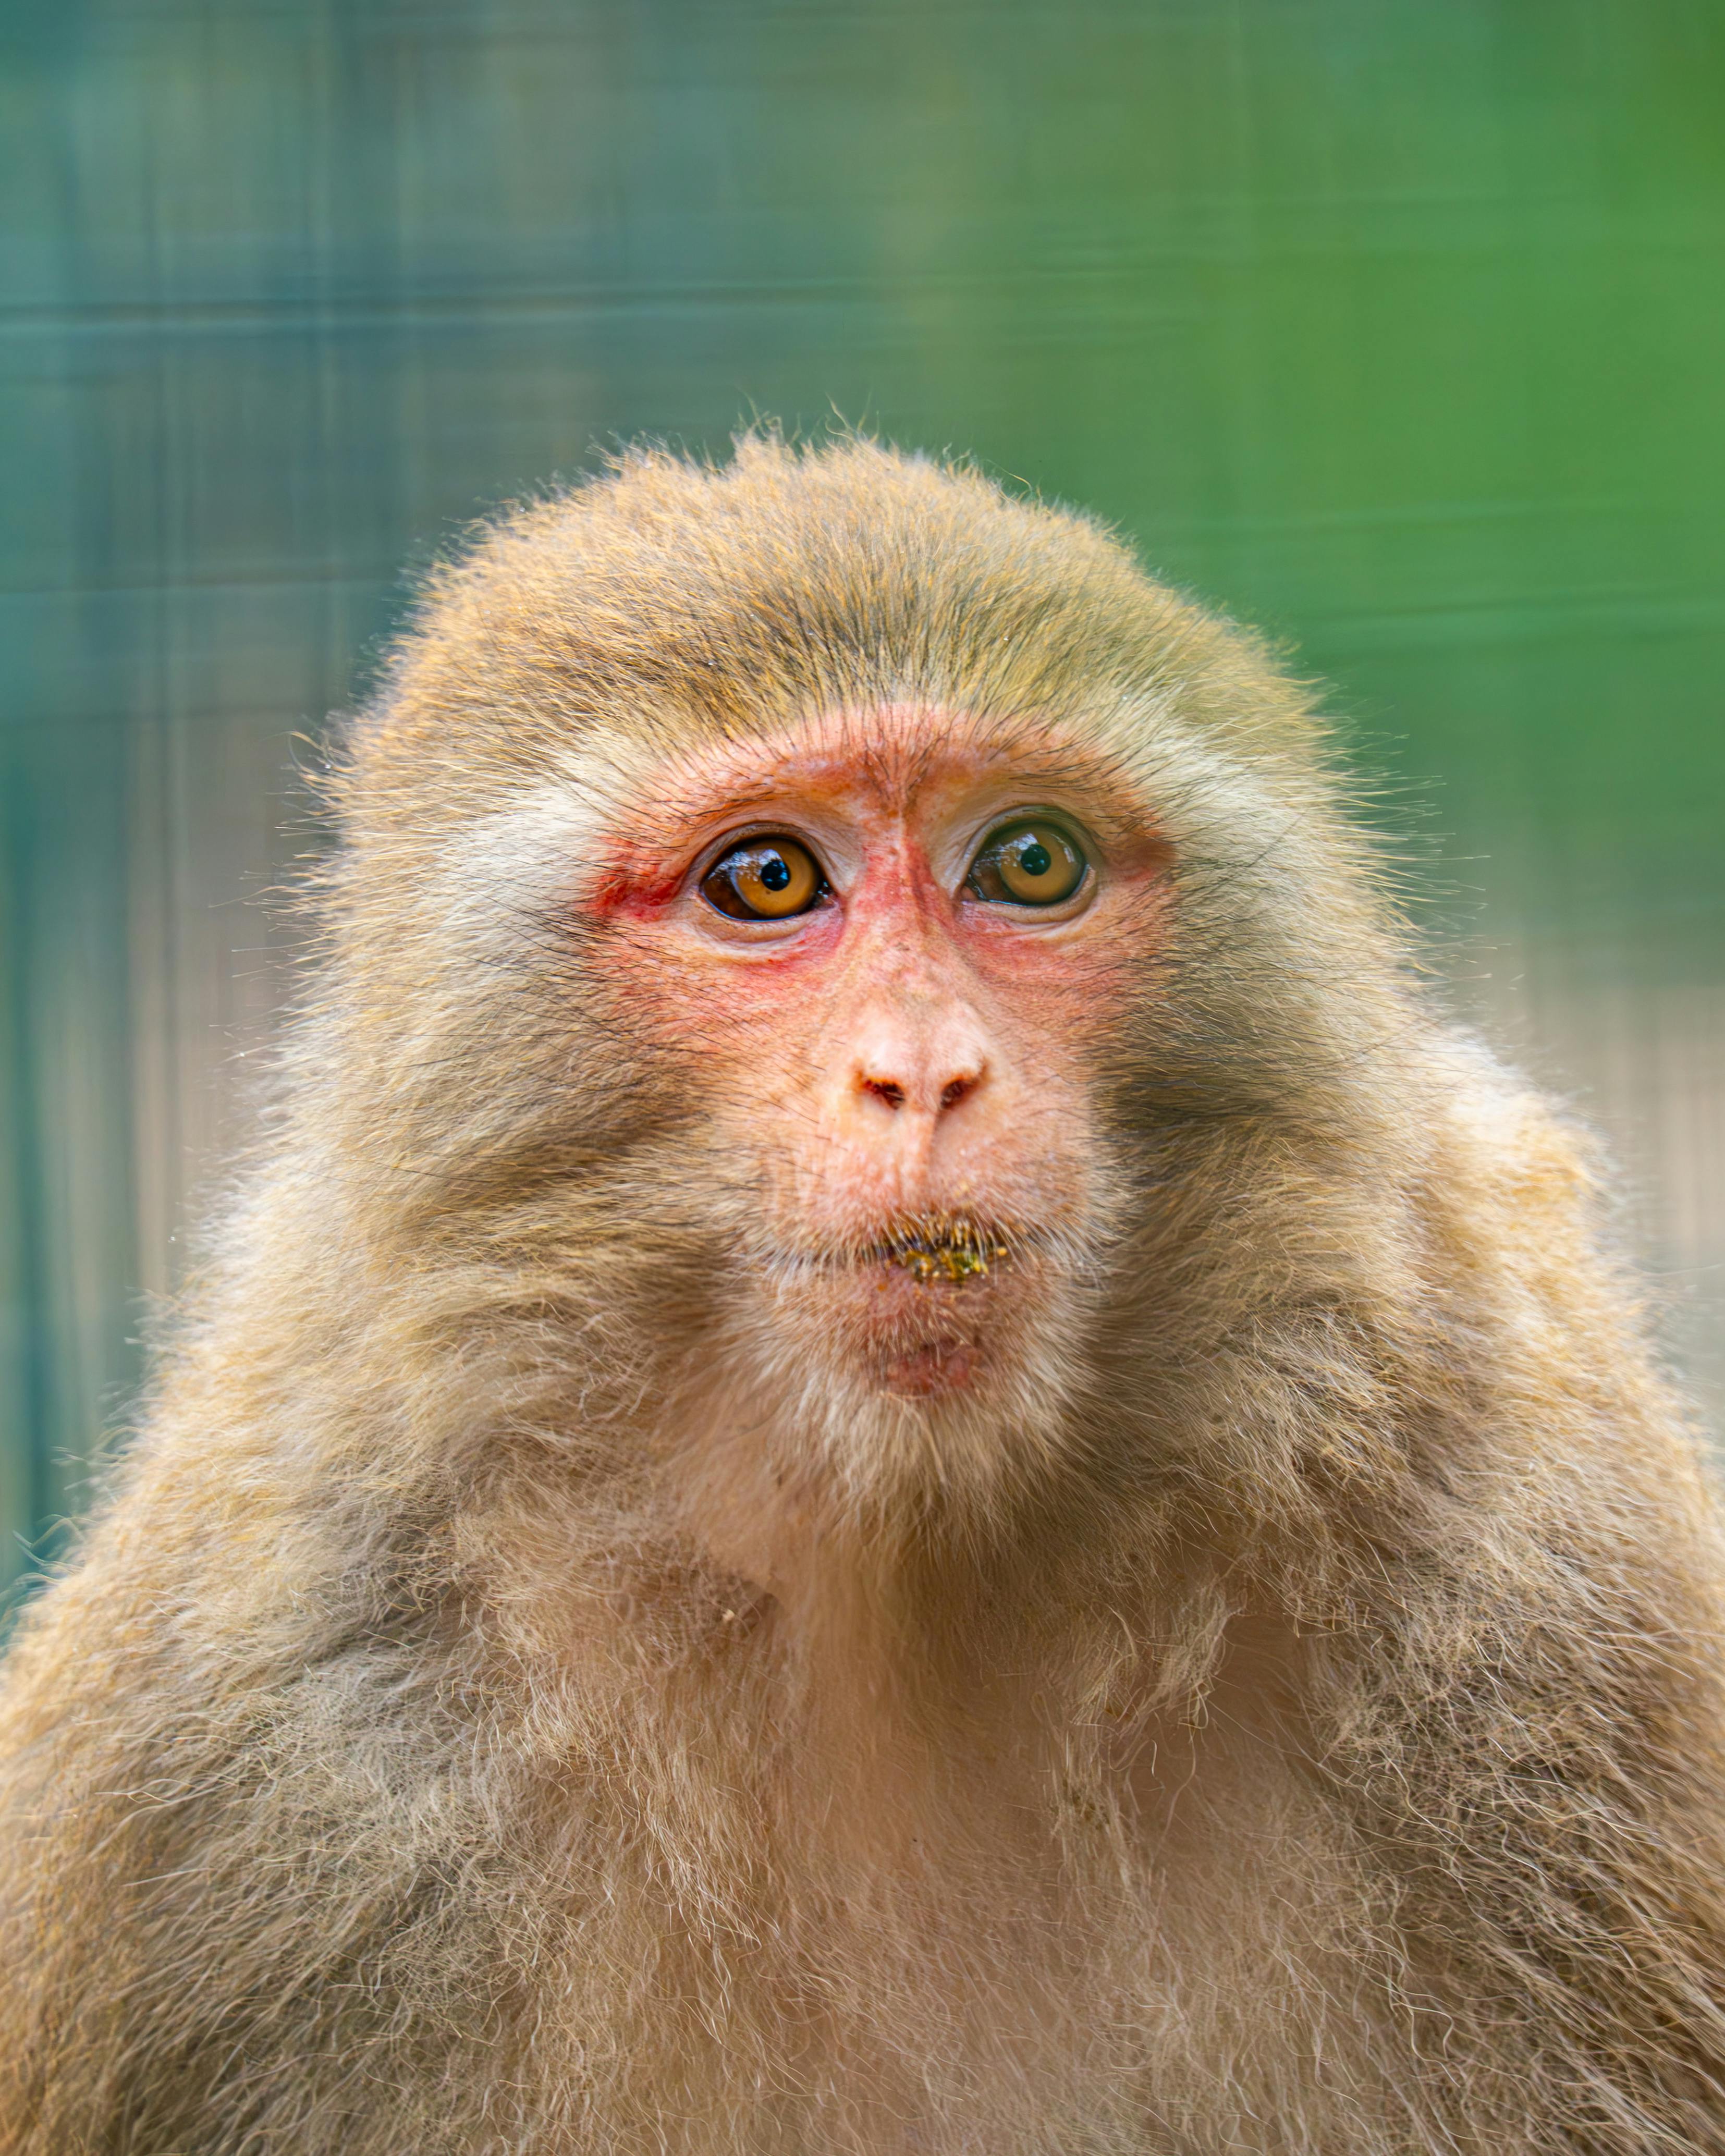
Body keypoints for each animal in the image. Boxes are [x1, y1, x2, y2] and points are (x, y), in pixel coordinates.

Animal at [1, 434, 1723, 2156]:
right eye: (766, 879)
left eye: (1028, 861)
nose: (925, 1070)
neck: (903, 1593)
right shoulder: (262, 1711)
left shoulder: (1538, 1586)